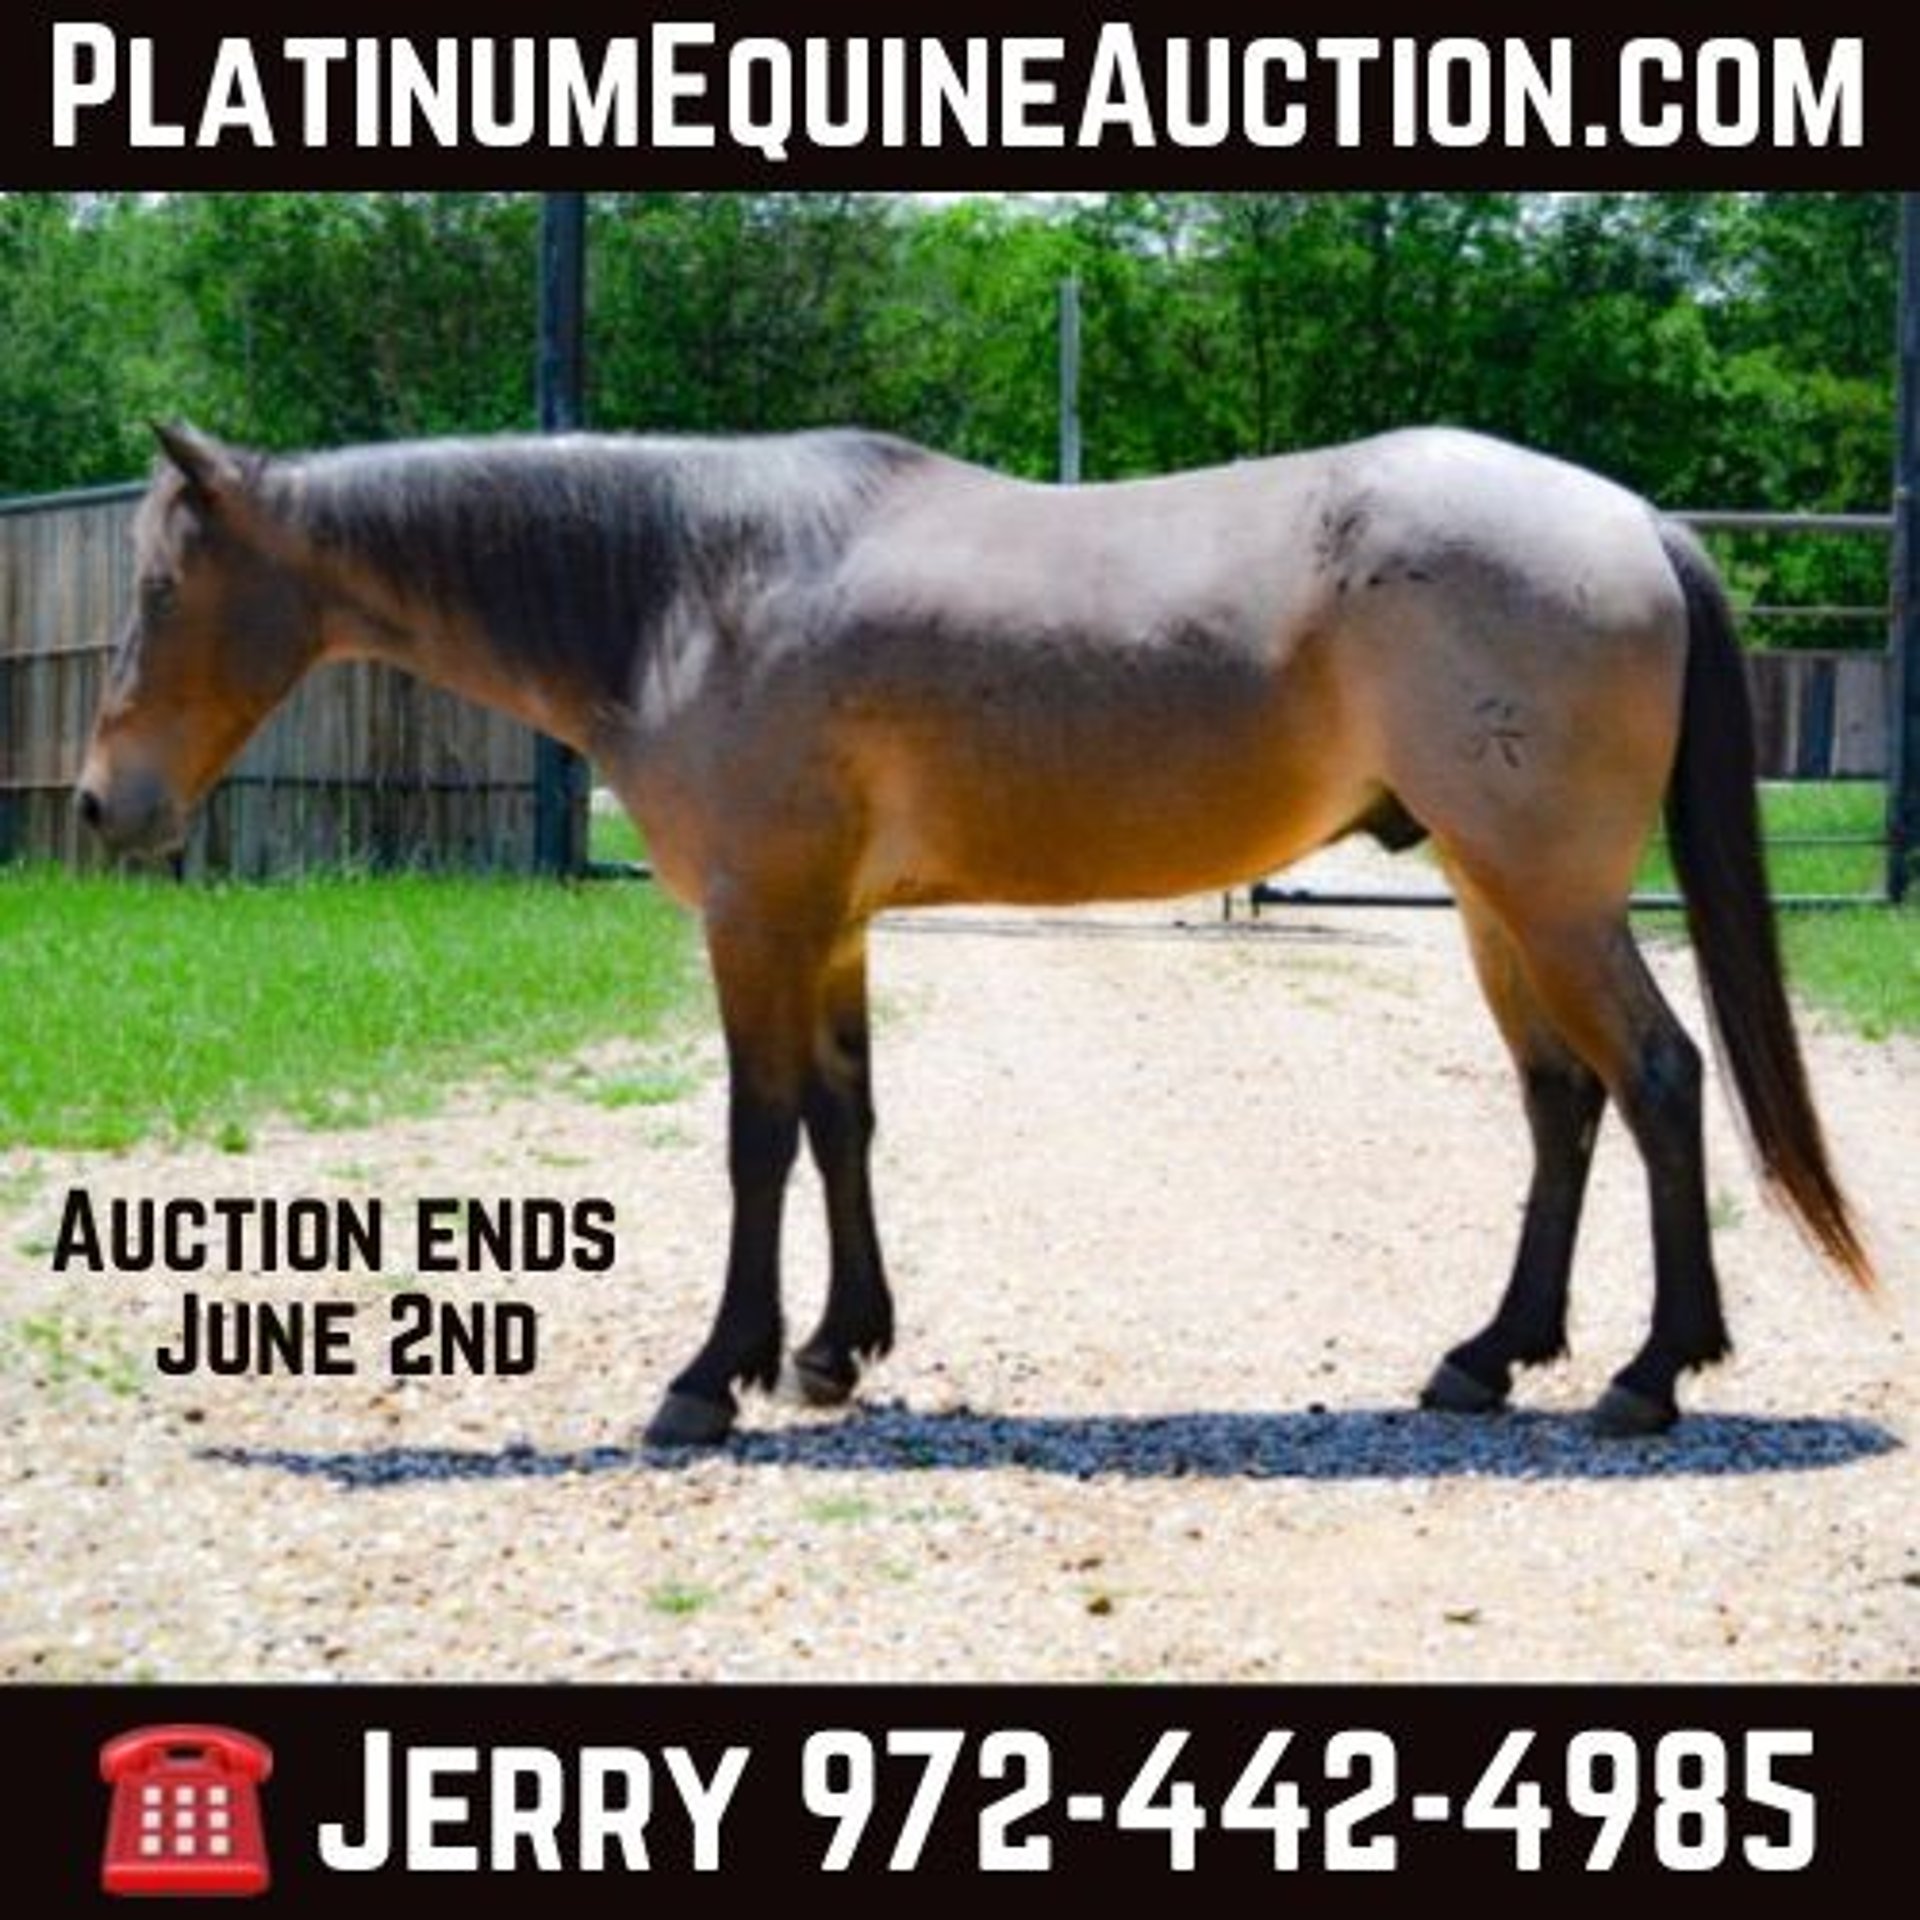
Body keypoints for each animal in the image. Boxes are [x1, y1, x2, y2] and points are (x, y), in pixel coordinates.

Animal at [77, 420, 1874, 1445]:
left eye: (162, 590)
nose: (102, 807)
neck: (695, 580)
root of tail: (1634, 520)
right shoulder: (830, 929)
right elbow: (846, 1121)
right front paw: (832, 1351)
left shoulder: (758, 918)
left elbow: (756, 1138)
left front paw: (711, 1378)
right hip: (1501, 904)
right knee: (1565, 1104)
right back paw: (1491, 1358)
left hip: (1549, 895)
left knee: (1658, 1079)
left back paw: (1650, 1374)